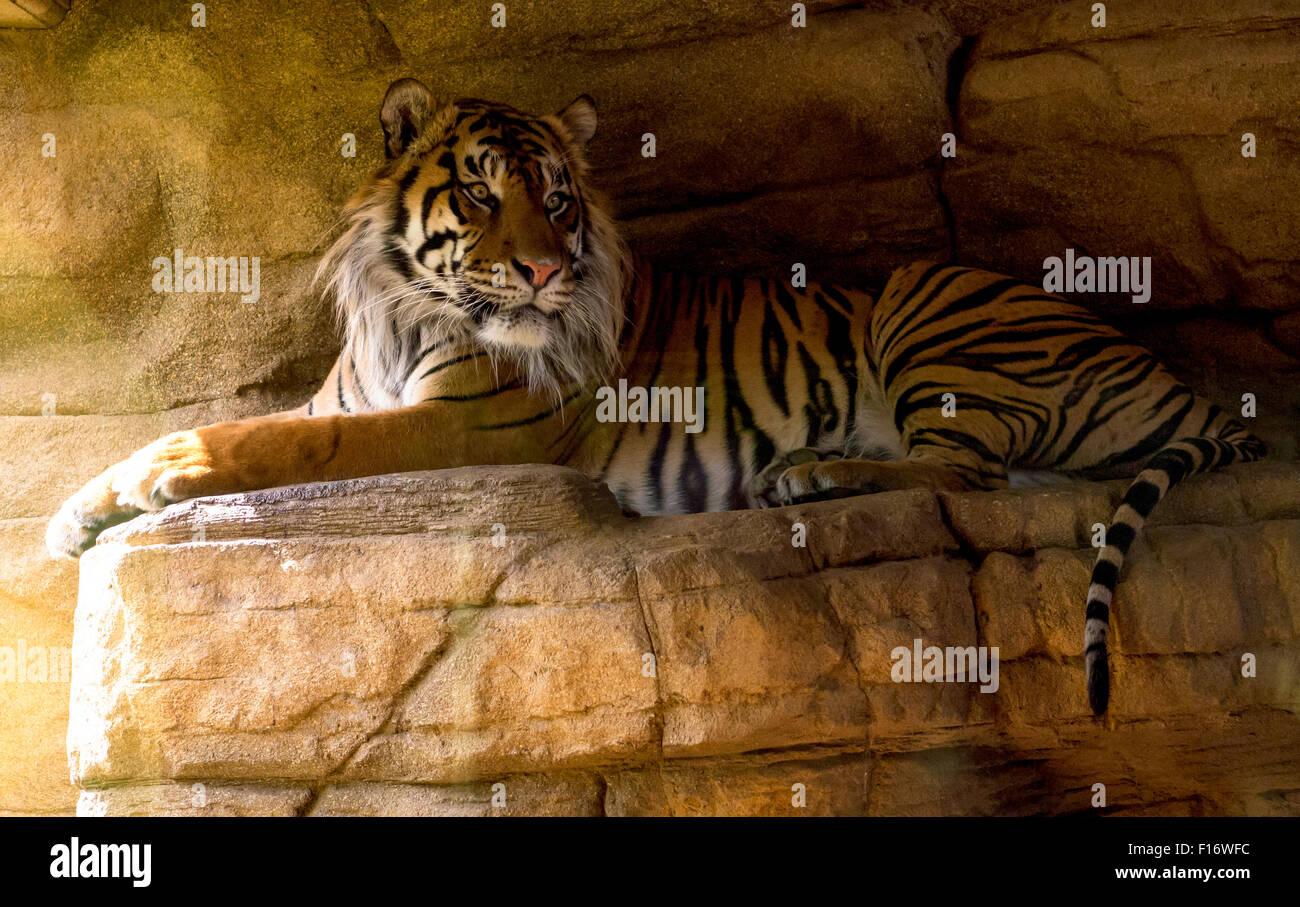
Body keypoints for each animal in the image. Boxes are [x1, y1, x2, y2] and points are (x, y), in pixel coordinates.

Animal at [46, 77, 1266, 716]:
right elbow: (257, 425)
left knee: (968, 468)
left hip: (934, 297)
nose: (545, 271)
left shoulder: (463, 423)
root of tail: (1175, 378)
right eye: (480, 192)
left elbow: (260, 442)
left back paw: (812, 473)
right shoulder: (352, 400)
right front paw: (79, 505)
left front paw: (144, 482)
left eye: (555, 197)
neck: (402, 306)